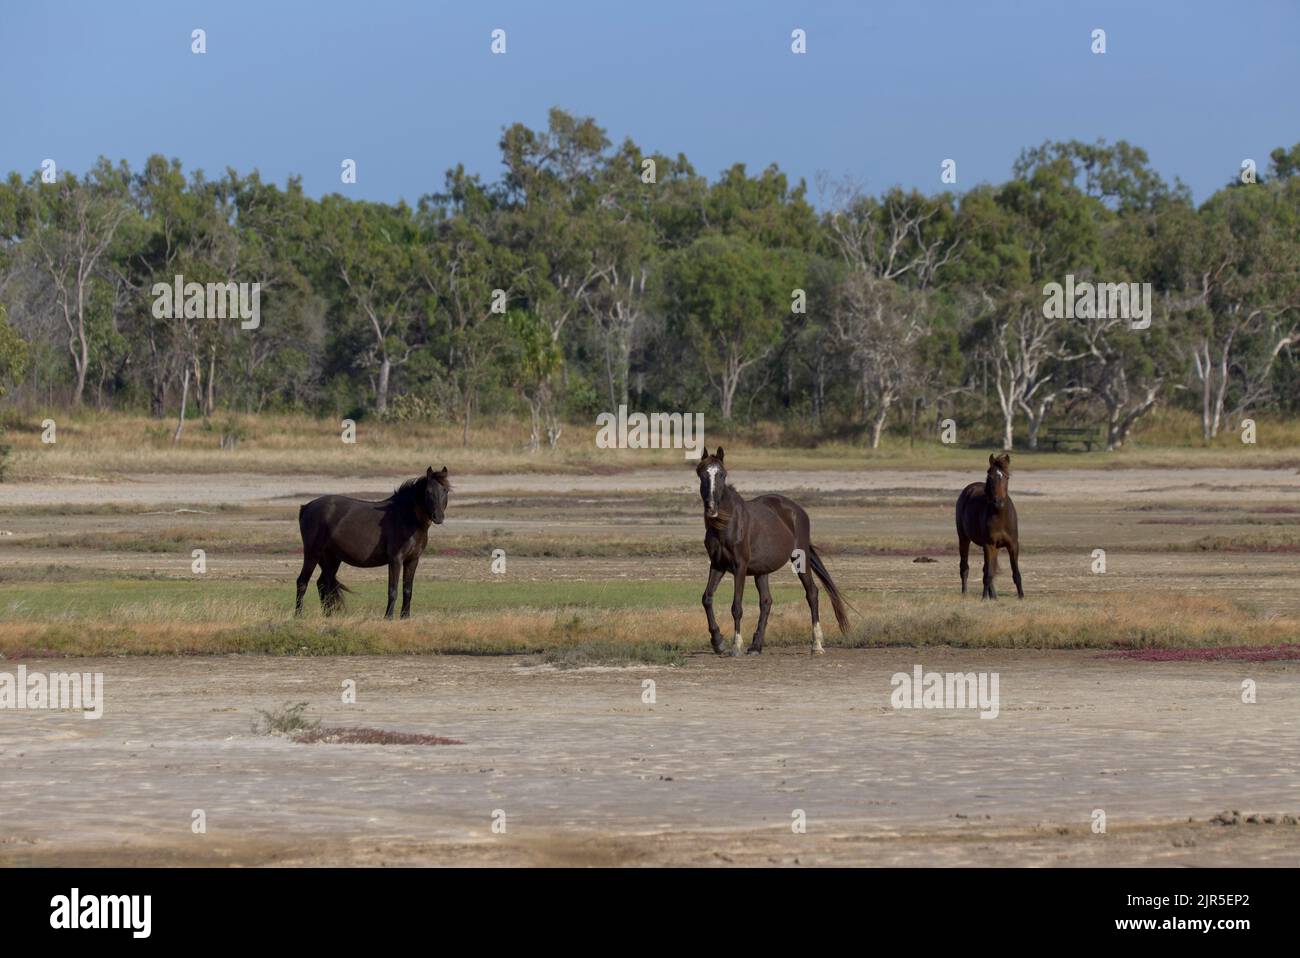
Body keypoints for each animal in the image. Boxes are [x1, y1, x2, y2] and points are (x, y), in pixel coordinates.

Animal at [295, 466, 450, 619]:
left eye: (445, 490)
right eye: (428, 491)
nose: (438, 517)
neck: (407, 518)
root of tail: (307, 507)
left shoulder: (412, 560)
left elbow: (407, 590)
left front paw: (405, 617)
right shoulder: (395, 559)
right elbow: (392, 590)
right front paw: (388, 617)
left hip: (331, 558)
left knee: (323, 584)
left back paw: (328, 616)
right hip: (312, 553)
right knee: (302, 582)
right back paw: (298, 615)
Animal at [695, 447, 851, 656]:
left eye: (722, 474)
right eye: (702, 474)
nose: (711, 508)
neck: (727, 523)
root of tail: (797, 510)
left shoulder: (740, 566)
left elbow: (736, 606)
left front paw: (736, 645)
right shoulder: (717, 565)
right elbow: (707, 599)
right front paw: (718, 642)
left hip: (800, 558)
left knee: (812, 593)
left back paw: (816, 644)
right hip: (762, 570)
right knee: (766, 602)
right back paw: (756, 646)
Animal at [955, 453, 1023, 600]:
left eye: (1006, 476)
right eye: (990, 477)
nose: (998, 502)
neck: (1000, 516)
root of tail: (970, 488)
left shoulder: (1013, 545)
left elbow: (1015, 572)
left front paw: (1021, 596)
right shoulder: (989, 545)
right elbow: (988, 574)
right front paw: (984, 598)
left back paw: (994, 596)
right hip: (964, 539)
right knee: (965, 567)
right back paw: (965, 593)